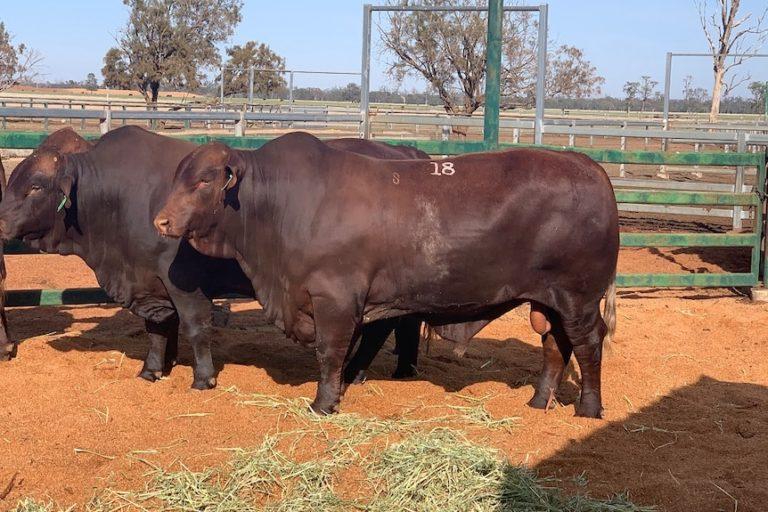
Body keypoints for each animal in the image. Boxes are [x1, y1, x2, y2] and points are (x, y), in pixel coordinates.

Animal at [0, 127, 435, 384]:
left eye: (35, 186)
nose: (0, 221)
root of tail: (407, 151)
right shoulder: (151, 286)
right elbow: (157, 330)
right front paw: (153, 369)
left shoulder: (182, 282)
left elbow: (195, 328)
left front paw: (203, 377)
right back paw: (402, 368)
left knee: (384, 326)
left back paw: (366, 372)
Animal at [154, 132, 619, 418]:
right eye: (177, 176)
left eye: (204, 181)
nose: (161, 221)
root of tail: (586, 165)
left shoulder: (335, 299)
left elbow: (330, 353)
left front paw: (323, 404)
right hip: (549, 300)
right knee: (555, 346)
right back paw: (539, 402)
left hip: (577, 298)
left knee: (588, 345)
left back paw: (589, 408)